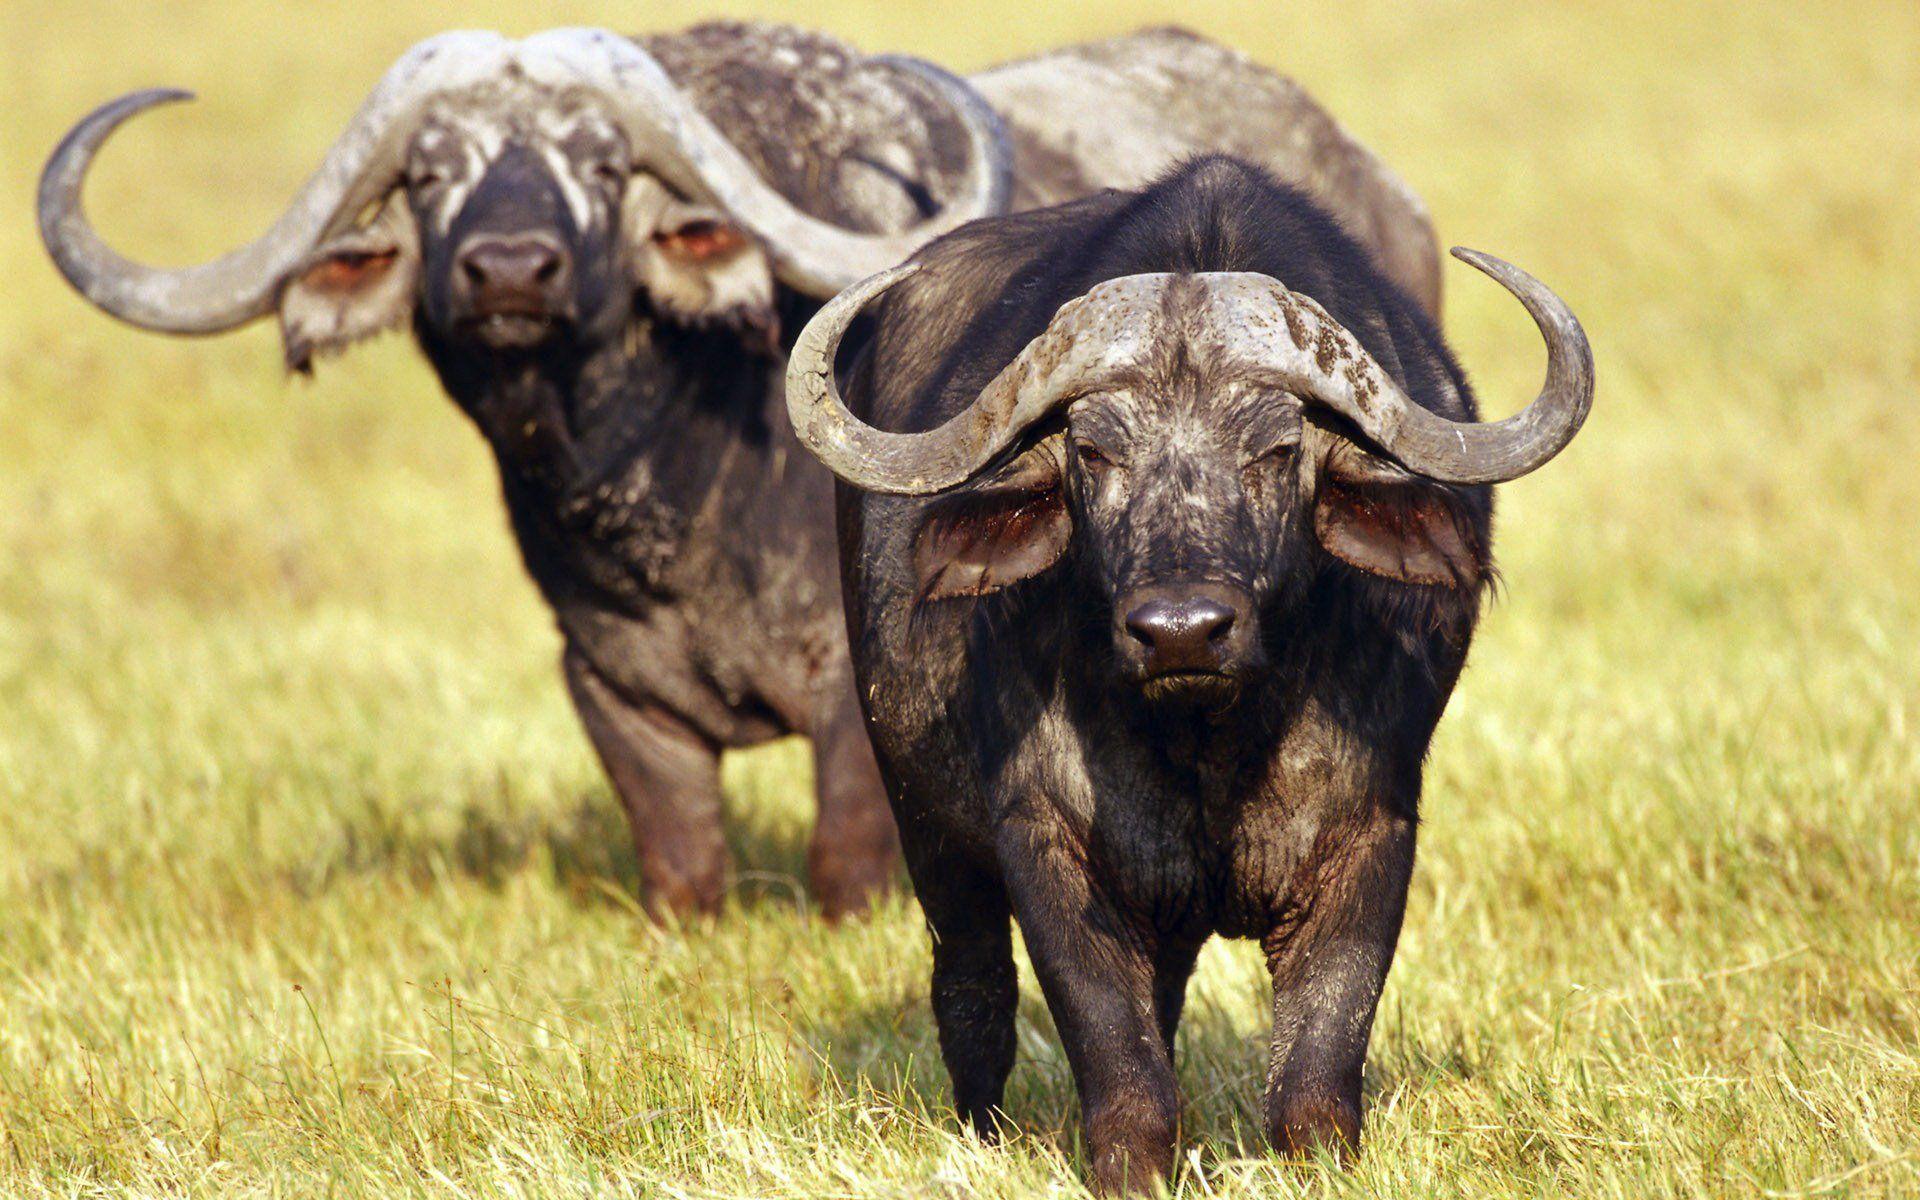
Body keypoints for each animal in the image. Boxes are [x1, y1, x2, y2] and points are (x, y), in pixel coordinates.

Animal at [39, 23, 1442, 919]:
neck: (672, 497)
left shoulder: (856, 705)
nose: (508, 271)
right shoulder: (614, 694)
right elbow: (684, 873)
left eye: (603, 164)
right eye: (430, 173)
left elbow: (846, 873)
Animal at [787, 156, 1592, 1190]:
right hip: (924, 824)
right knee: (972, 991)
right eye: (1093, 451)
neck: (1212, 740)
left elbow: (1316, 1073)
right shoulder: (1045, 842)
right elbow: (1120, 1066)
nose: (1181, 633)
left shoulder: (1372, 836)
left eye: (1277, 449)